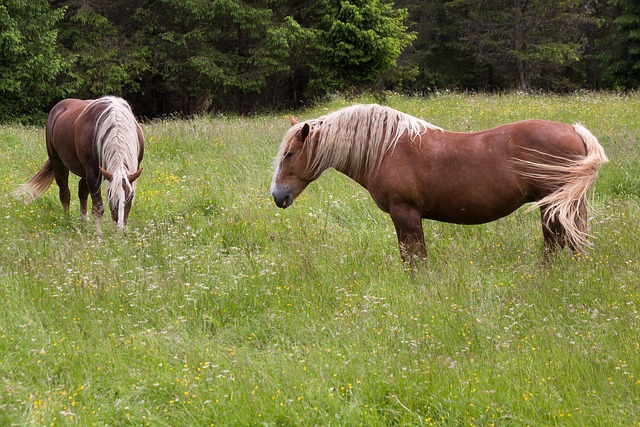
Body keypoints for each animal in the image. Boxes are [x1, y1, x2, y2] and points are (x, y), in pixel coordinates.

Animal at [15, 96, 144, 233]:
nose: (120, 230)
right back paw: (69, 221)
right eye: (111, 198)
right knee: (65, 193)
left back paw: (84, 220)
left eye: (130, 198)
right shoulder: (93, 173)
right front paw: (99, 235)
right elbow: (98, 207)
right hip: (59, 164)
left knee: (82, 190)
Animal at [270, 104, 608, 263]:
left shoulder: (405, 214)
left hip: (552, 206)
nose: (277, 196)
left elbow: (413, 258)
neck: (387, 149)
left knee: (557, 244)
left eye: (289, 154)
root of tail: (574, 131)